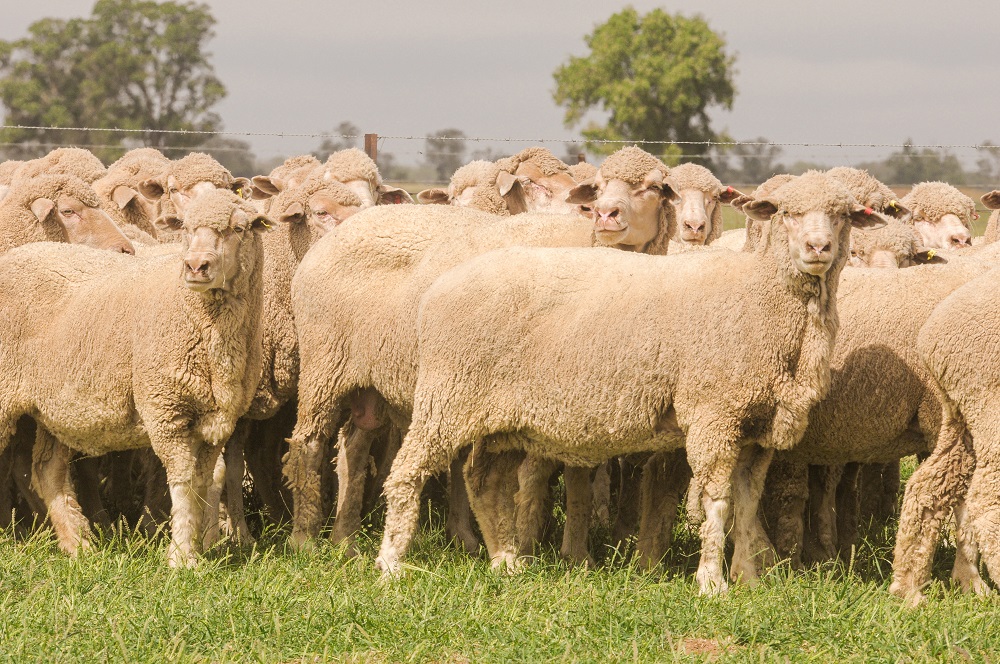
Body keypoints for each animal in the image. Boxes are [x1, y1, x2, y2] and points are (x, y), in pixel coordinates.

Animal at [0, 189, 268, 566]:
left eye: (239, 228)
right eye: (185, 228)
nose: (195, 266)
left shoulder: (218, 421)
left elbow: (204, 482)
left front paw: (199, 545)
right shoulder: (165, 410)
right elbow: (184, 482)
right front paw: (182, 556)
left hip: (56, 405)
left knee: (47, 471)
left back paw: (78, 545)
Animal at [284, 146, 681, 553]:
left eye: (654, 187)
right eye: (598, 185)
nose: (602, 214)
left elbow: (574, 471)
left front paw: (571, 551)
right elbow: (539, 473)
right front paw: (534, 543)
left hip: (372, 379)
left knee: (354, 446)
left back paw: (346, 537)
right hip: (324, 364)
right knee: (310, 443)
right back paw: (305, 537)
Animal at [372, 172, 884, 593]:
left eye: (843, 216)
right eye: (786, 213)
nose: (817, 249)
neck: (763, 300)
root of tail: (439, 288)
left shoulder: (756, 426)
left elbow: (746, 502)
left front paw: (749, 579)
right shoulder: (714, 413)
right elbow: (717, 503)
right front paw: (712, 583)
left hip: (501, 418)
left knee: (481, 480)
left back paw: (505, 561)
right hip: (447, 397)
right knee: (406, 471)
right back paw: (391, 564)